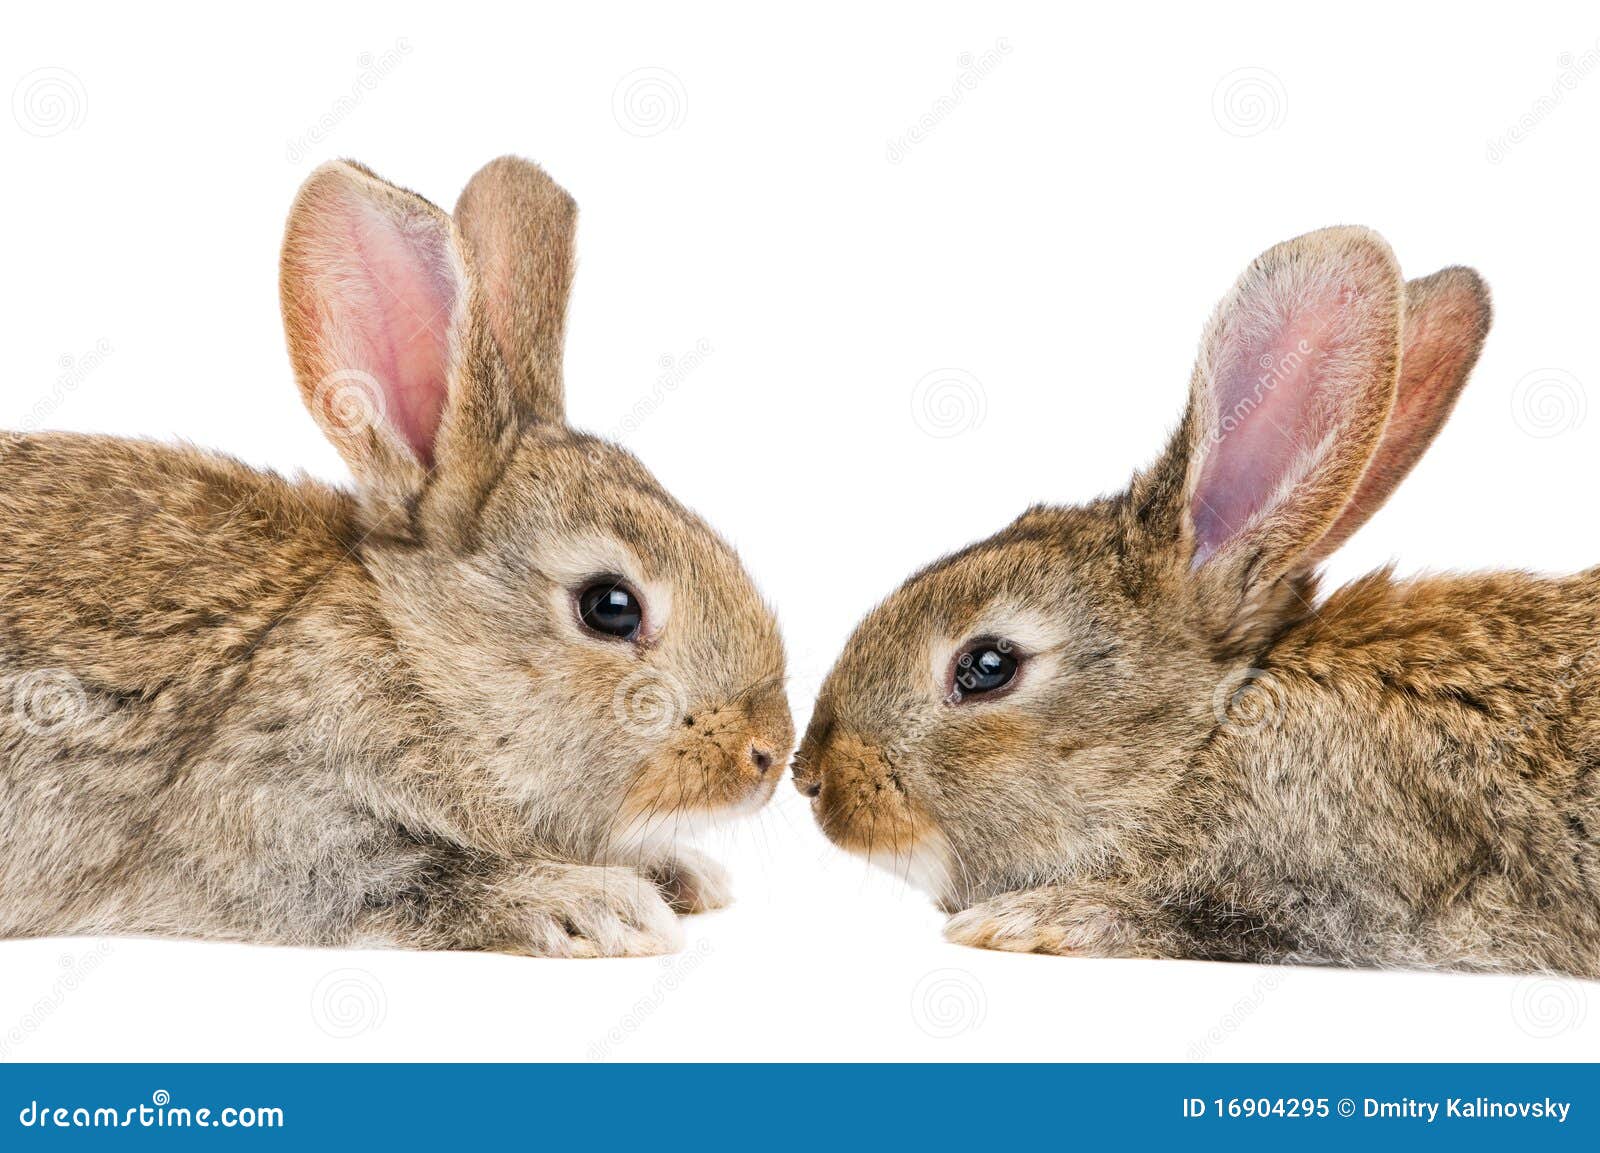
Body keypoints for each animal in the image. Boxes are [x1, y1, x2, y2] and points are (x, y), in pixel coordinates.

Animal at [0, 156, 793, 957]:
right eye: (611, 606)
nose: (768, 752)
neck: (420, 664)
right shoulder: (269, 817)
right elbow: (419, 875)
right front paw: (601, 904)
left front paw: (688, 874)